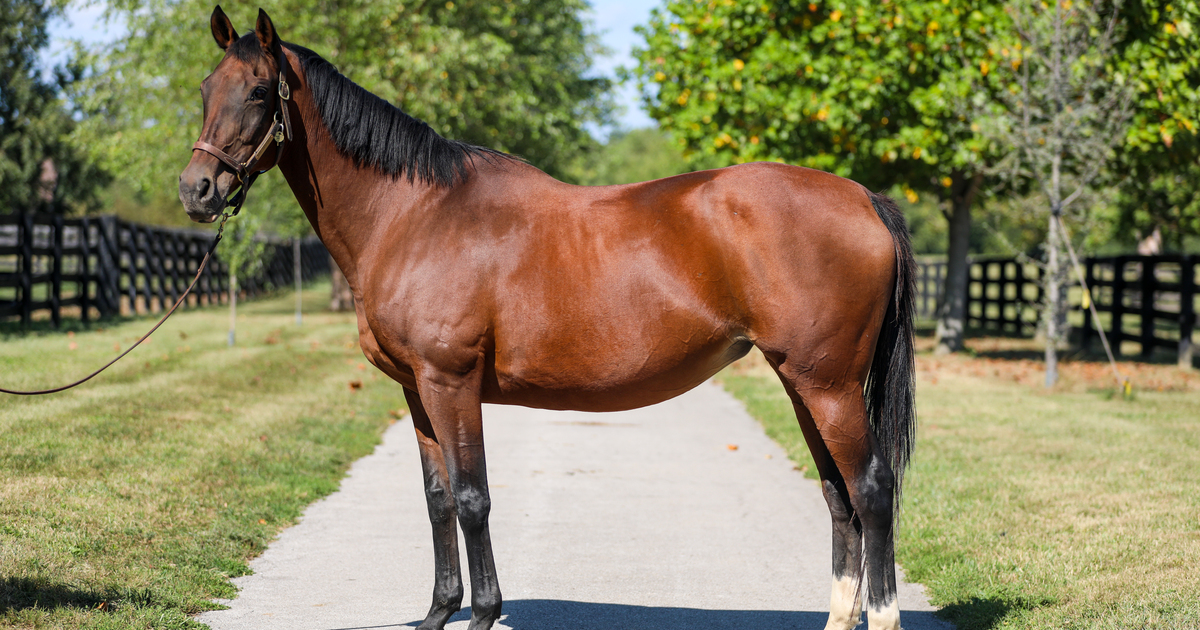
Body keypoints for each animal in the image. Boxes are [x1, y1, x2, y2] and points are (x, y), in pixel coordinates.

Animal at [178, 8, 917, 630]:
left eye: (258, 92)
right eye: (206, 87)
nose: (197, 191)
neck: (413, 215)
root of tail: (864, 198)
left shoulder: (451, 382)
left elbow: (473, 496)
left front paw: (481, 613)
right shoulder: (416, 389)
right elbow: (438, 498)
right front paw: (439, 612)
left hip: (829, 385)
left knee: (871, 490)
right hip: (802, 382)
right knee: (838, 496)